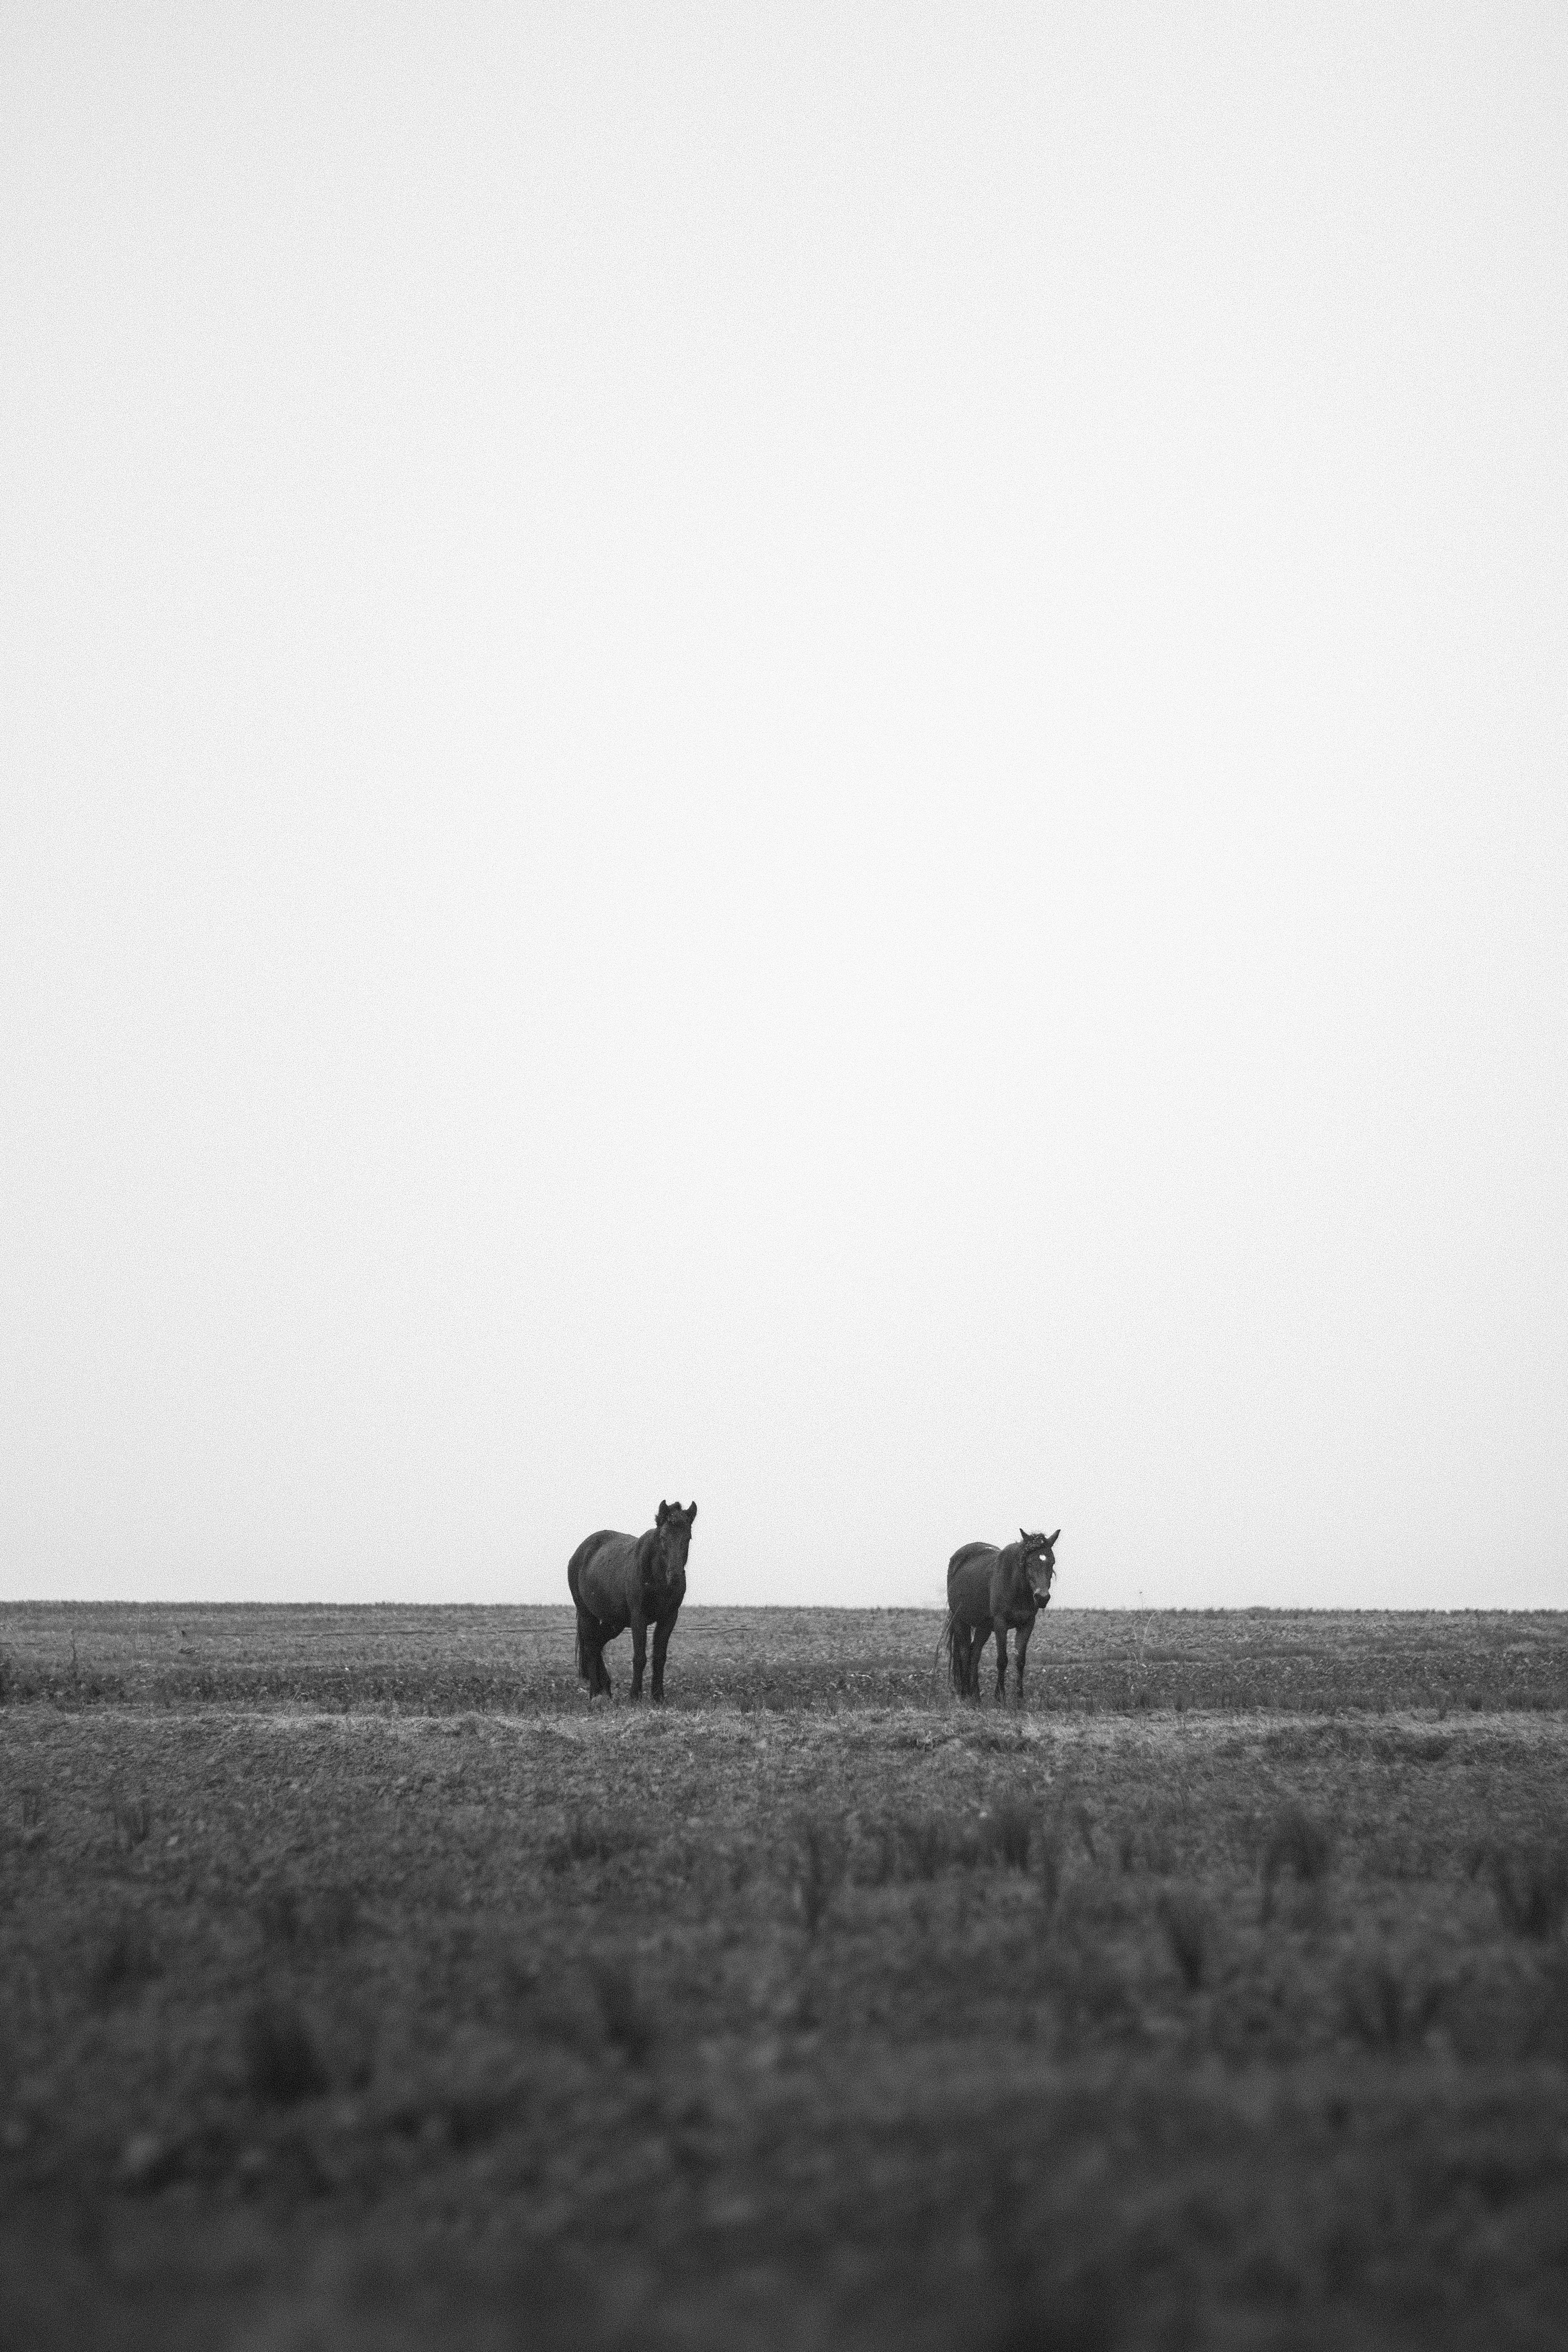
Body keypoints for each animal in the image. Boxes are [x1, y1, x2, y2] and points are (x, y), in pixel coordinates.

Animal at [567, 1501, 696, 1702]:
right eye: (663, 1537)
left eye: (688, 1538)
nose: (675, 1577)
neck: (656, 1578)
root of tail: (581, 1552)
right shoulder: (638, 1618)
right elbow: (640, 1658)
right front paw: (635, 1696)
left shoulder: (669, 1618)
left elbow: (660, 1657)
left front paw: (658, 1696)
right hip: (588, 1614)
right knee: (590, 1646)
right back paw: (595, 1692)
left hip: (614, 1622)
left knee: (597, 1644)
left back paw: (606, 1689)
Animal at [941, 1529, 1059, 1702]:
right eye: (1029, 1563)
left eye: (1052, 1563)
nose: (1042, 1598)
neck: (1015, 1587)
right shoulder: (1000, 1624)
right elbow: (1002, 1660)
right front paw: (1000, 1696)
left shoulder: (1027, 1625)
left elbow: (1020, 1661)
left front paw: (1019, 1698)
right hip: (960, 1622)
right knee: (964, 1652)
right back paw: (964, 1694)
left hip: (984, 1627)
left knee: (975, 1652)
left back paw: (976, 1695)